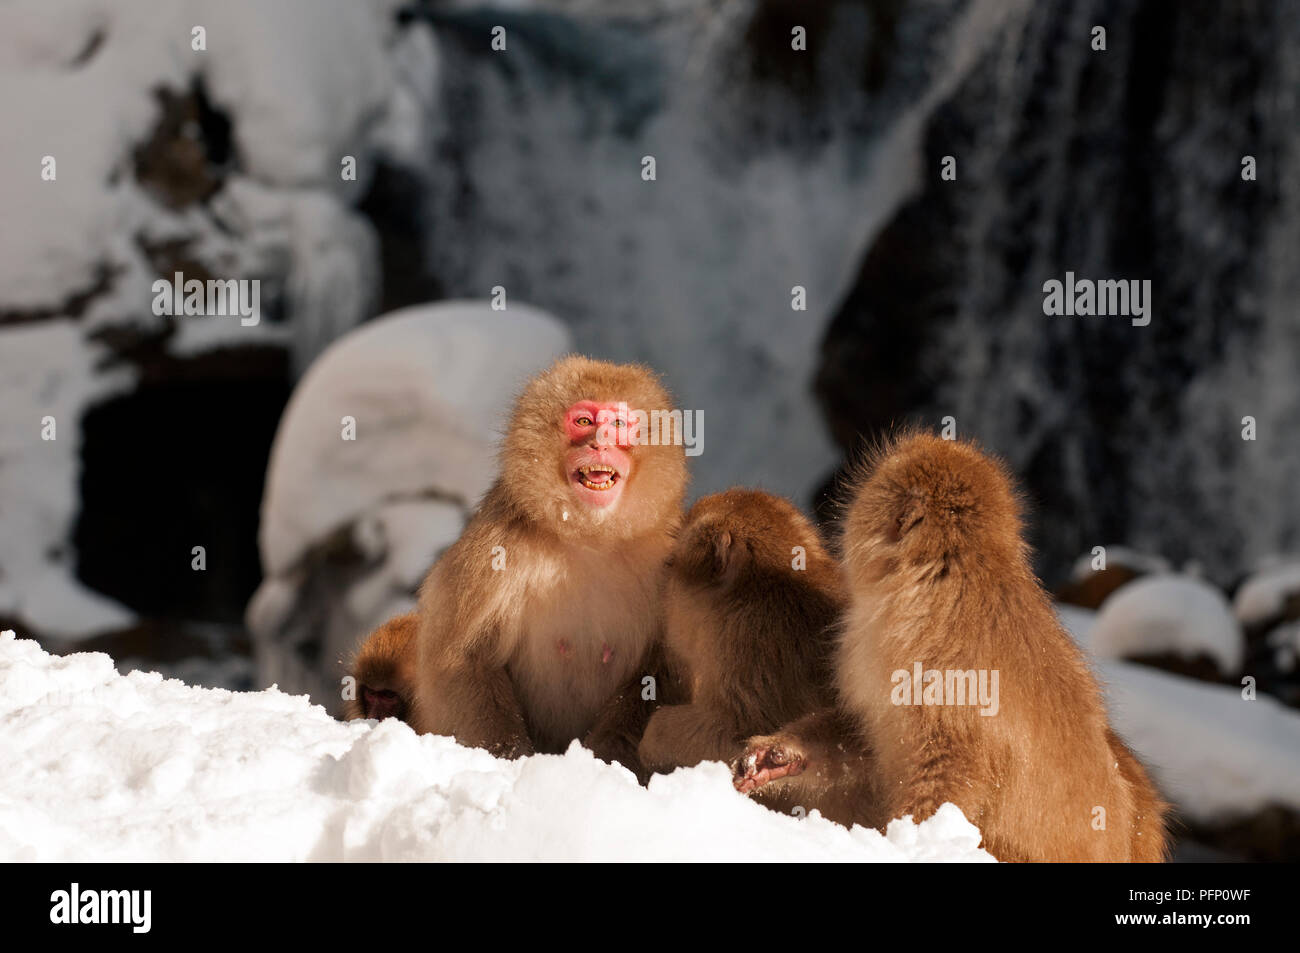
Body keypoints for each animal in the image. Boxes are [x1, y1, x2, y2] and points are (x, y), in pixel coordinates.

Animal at [404, 356, 688, 773]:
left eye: (619, 424)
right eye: (584, 421)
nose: (601, 442)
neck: (590, 536)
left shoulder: (669, 549)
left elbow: (659, 671)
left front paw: (609, 758)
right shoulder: (496, 545)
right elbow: (463, 657)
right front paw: (509, 756)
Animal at [736, 432, 1168, 861]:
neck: (951, 575)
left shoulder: (933, 668)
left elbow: (948, 774)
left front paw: (903, 842)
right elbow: (864, 735)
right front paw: (779, 755)